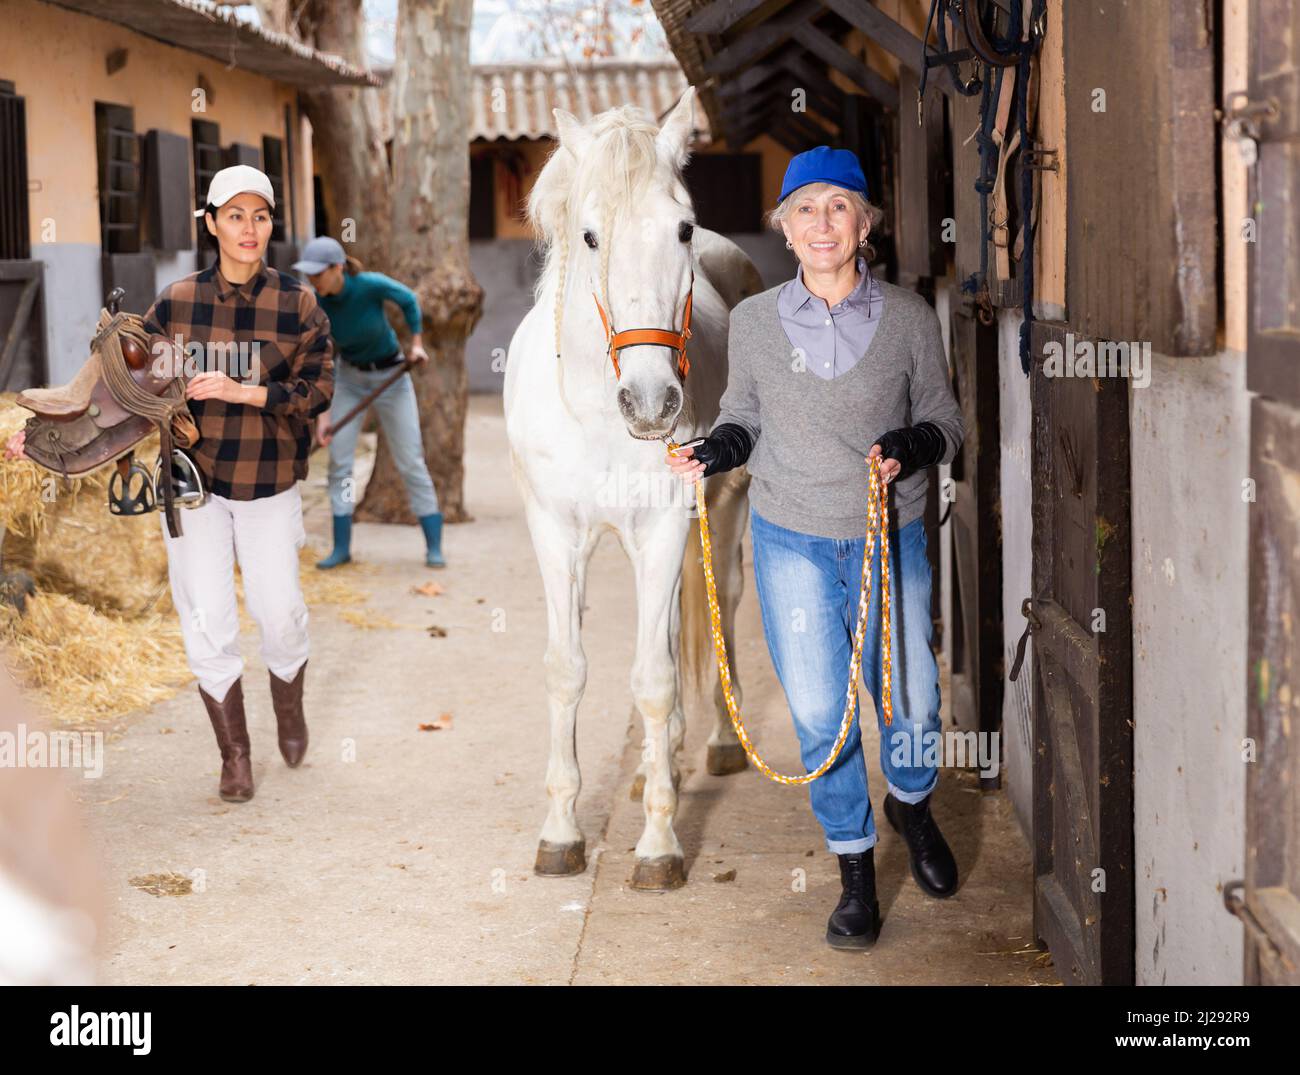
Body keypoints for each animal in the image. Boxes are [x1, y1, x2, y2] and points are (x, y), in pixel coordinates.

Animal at [504, 87, 761, 890]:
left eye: (682, 227)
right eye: (589, 236)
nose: (651, 404)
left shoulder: (667, 526)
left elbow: (653, 679)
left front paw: (658, 846)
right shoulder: (554, 532)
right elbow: (567, 672)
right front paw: (561, 833)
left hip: (722, 517)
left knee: (721, 609)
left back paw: (715, 745)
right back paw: (659, 767)